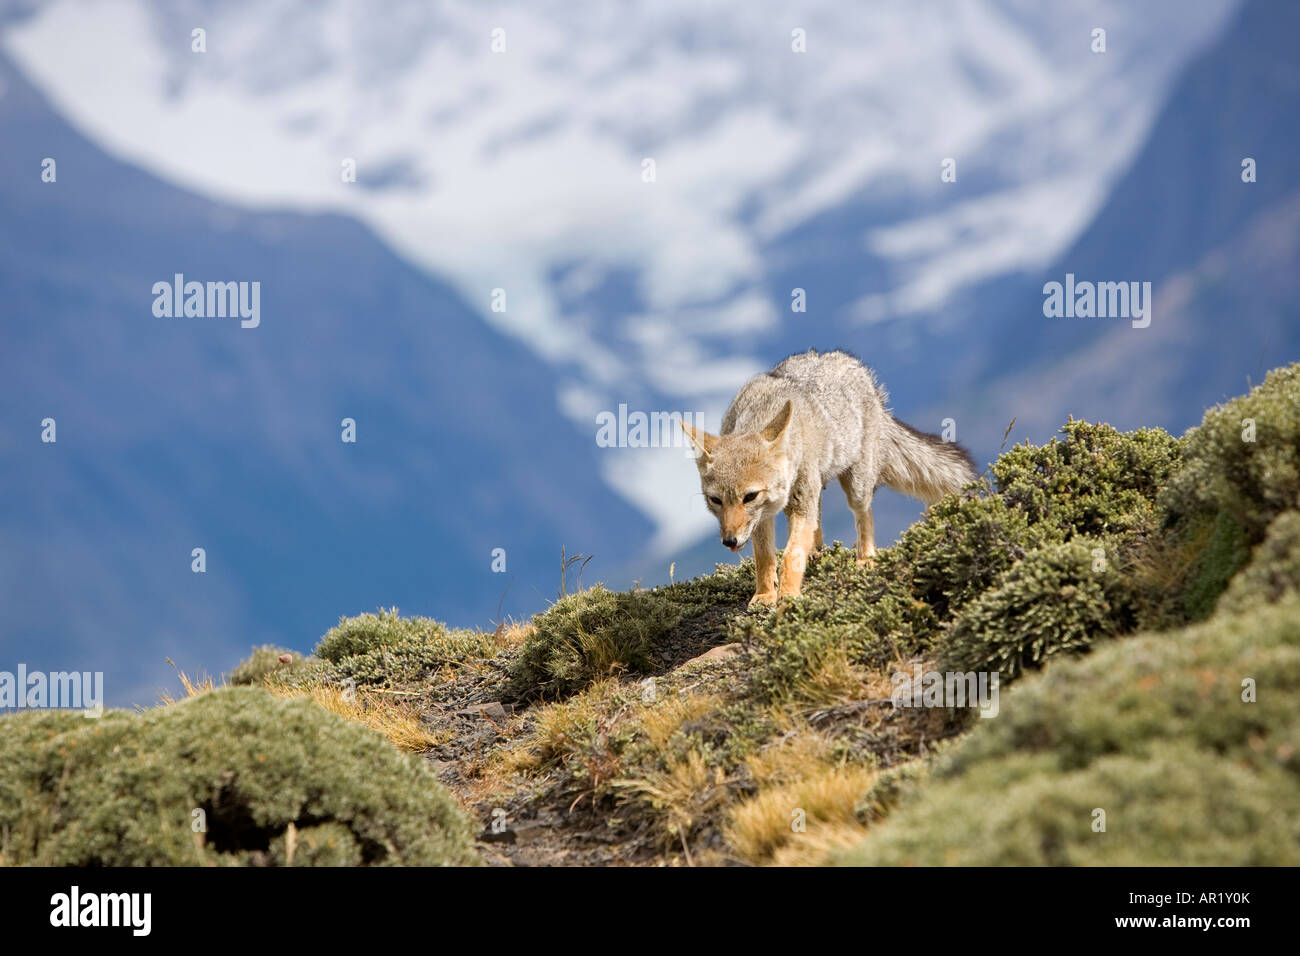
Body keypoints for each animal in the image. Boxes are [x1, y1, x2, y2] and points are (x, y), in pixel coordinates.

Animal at [679, 349, 977, 606]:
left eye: (749, 496)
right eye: (715, 501)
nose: (729, 541)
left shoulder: (793, 505)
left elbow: (791, 555)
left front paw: (789, 596)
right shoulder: (765, 516)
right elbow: (765, 557)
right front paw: (765, 595)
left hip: (854, 486)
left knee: (863, 514)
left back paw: (865, 558)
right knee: (817, 519)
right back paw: (817, 551)